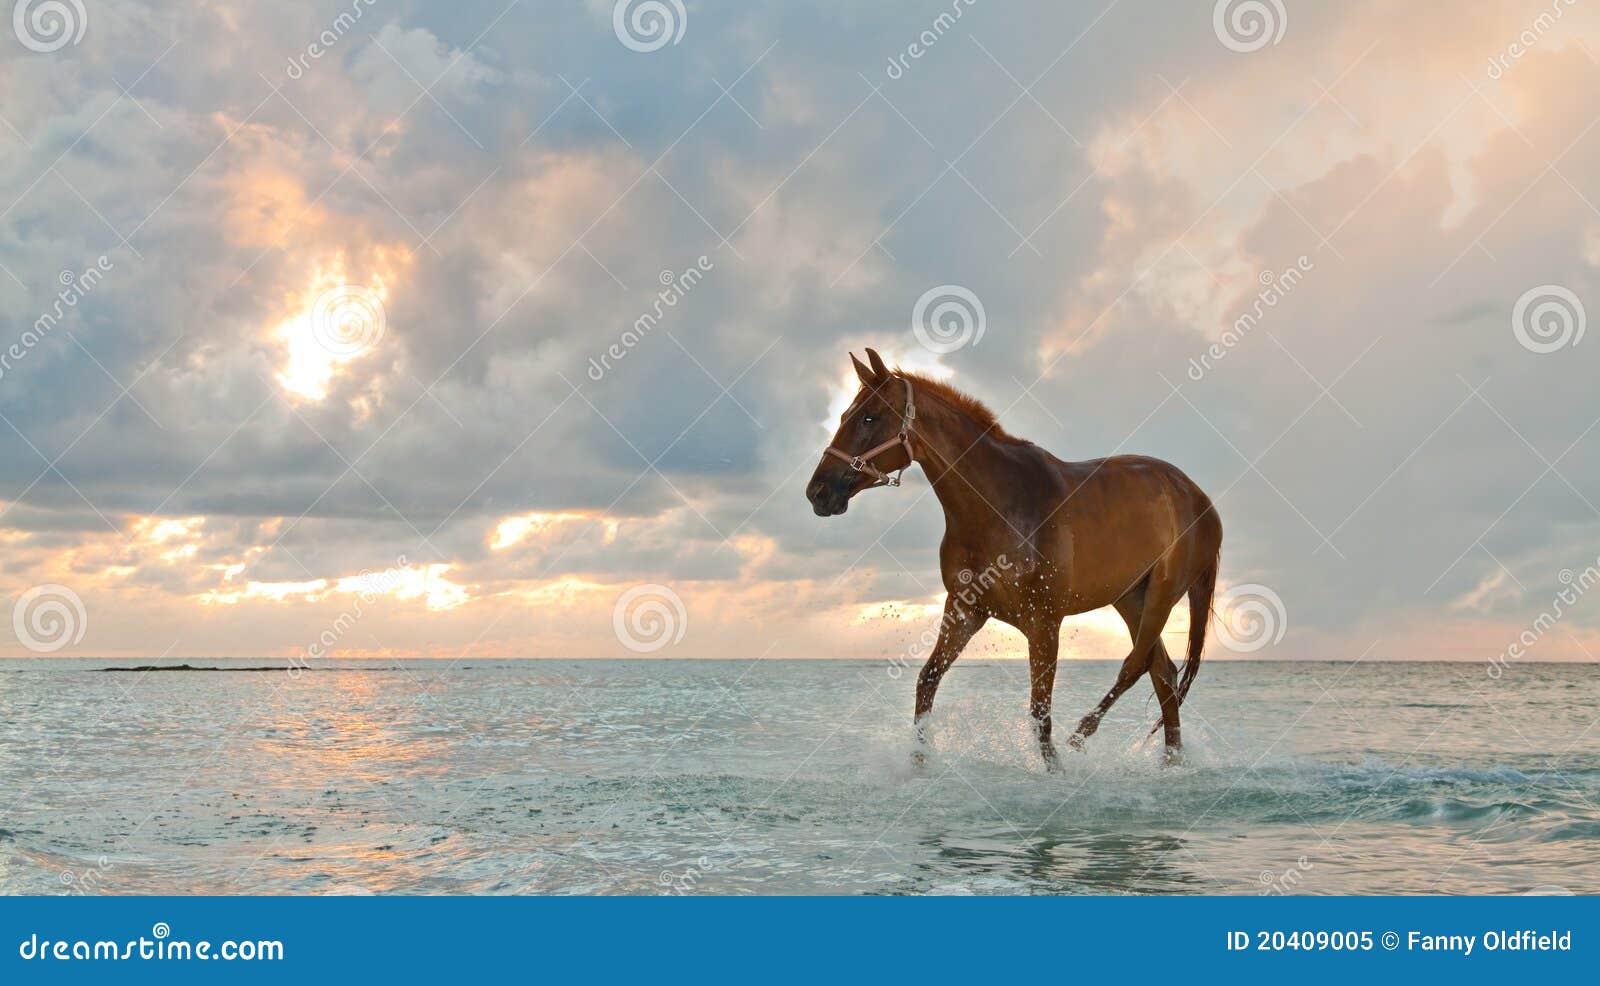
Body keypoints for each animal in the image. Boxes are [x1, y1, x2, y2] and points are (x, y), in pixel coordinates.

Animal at [806, 348, 1222, 766]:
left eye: (869, 417)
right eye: (844, 416)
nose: (818, 491)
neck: (998, 505)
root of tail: (1197, 495)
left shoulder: (1044, 622)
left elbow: (1041, 710)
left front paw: (1056, 770)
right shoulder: (965, 610)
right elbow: (927, 682)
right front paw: (917, 763)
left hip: (1161, 596)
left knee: (1135, 666)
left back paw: (1083, 736)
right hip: (1131, 597)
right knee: (1162, 673)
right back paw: (1171, 764)